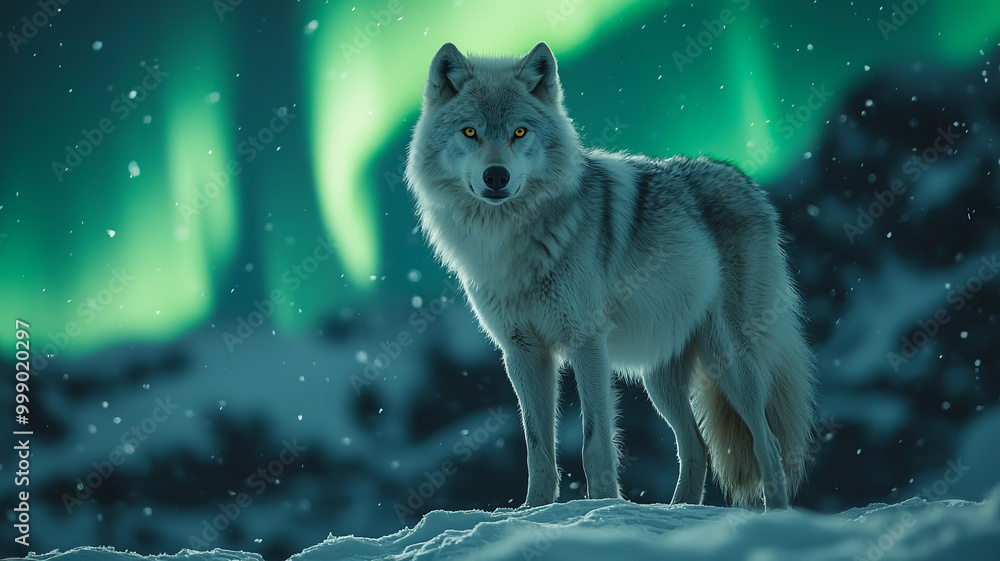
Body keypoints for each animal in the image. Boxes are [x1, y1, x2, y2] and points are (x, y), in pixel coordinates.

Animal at [405, 42, 818, 510]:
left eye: (520, 133)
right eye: (470, 132)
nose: (496, 176)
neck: (509, 243)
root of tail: (747, 182)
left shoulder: (587, 341)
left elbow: (594, 442)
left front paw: (601, 506)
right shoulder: (522, 351)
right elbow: (537, 446)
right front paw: (535, 511)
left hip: (728, 358)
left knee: (766, 441)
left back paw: (775, 514)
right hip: (658, 375)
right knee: (696, 445)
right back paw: (676, 511)